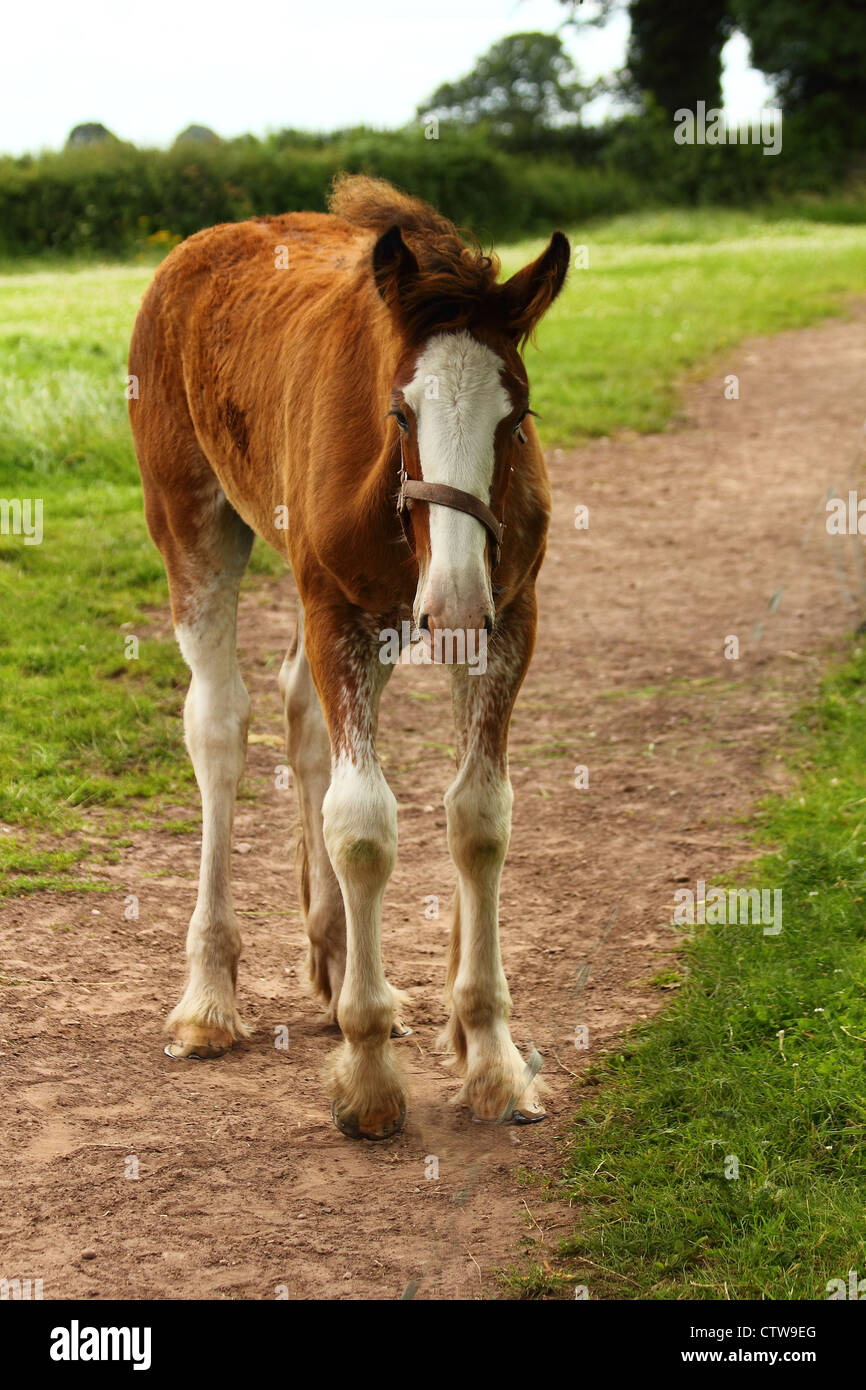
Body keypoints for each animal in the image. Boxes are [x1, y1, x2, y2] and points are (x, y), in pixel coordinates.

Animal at [128, 175, 569, 1140]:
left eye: (516, 417)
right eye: (400, 412)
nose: (454, 600)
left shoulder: (506, 620)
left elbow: (478, 818)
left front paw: (488, 1055)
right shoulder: (337, 610)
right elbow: (363, 825)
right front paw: (369, 1078)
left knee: (300, 713)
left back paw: (332, 965)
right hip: (192, 524)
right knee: (220, 725)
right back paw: (209, 998)